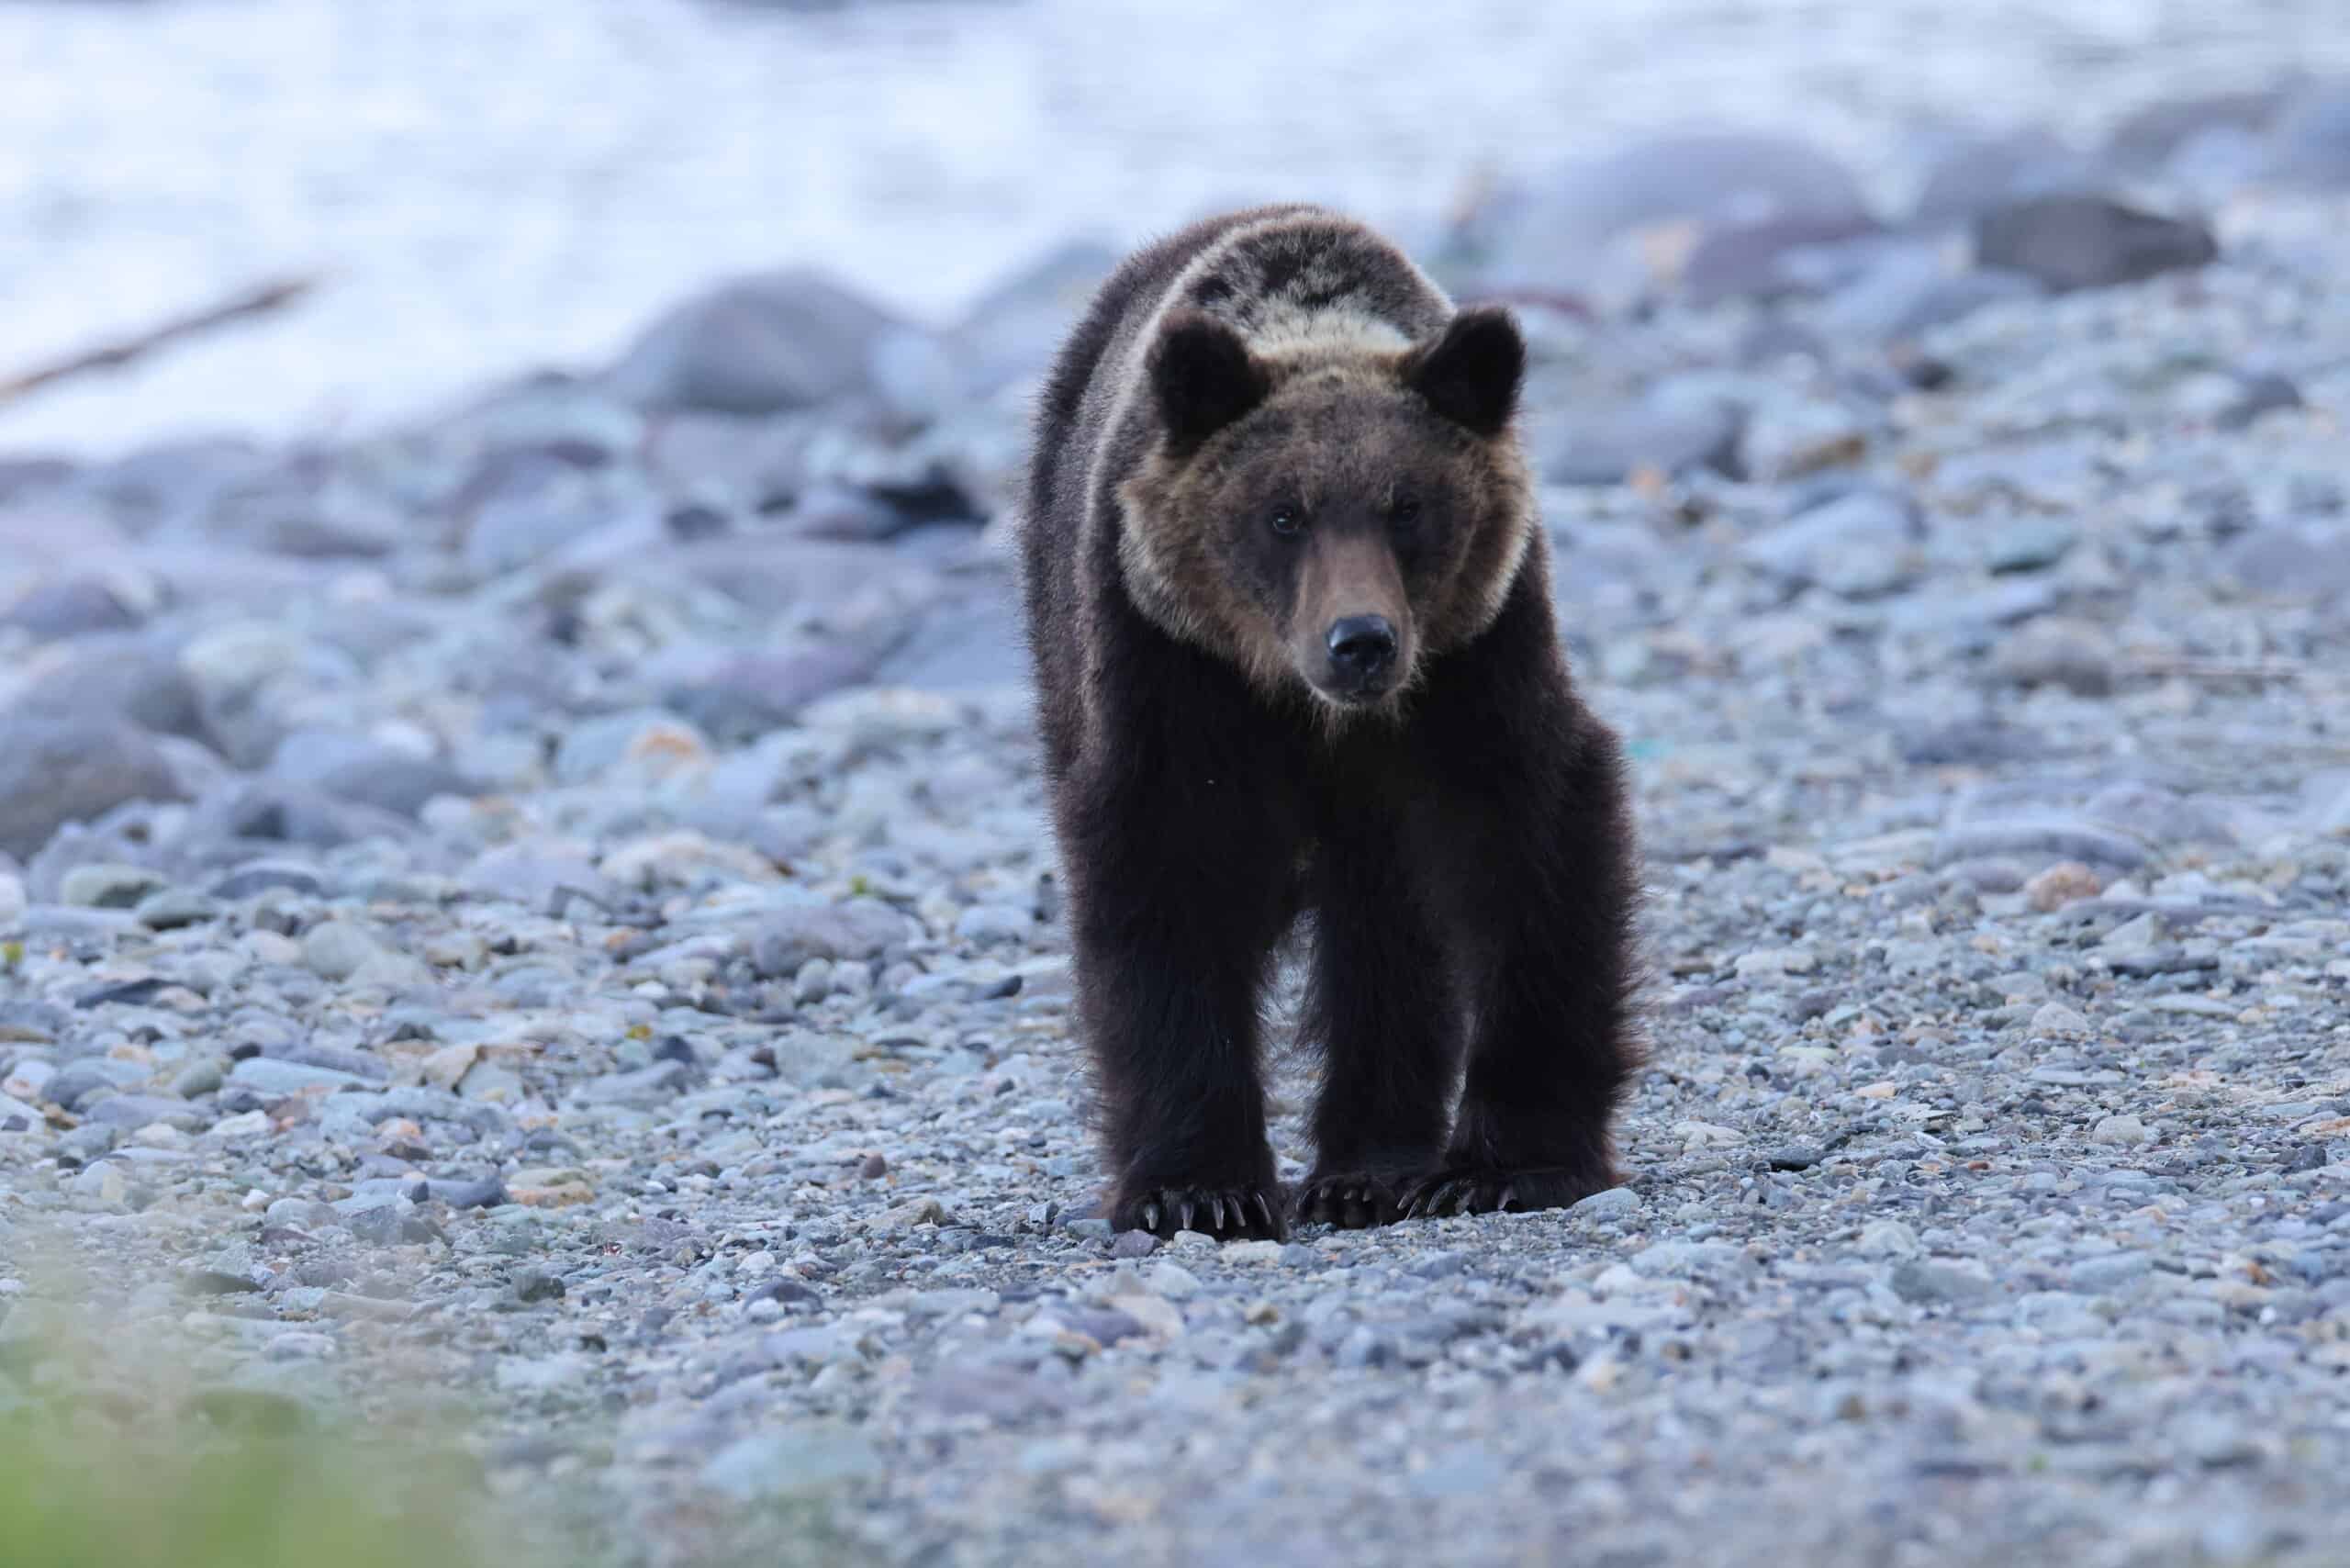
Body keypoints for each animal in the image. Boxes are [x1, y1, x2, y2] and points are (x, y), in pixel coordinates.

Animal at [1020, 204, 1640, 1241]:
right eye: (1283, 514)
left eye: (1408, 507)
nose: (1362, 642)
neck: (1309, 711)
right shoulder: (1170, 669)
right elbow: (1161, 875)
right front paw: (1198, 1185)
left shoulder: (1477, 661)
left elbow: (1533, 845)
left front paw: (1508, 1164)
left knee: (1386, 934)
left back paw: (1369, 1171)